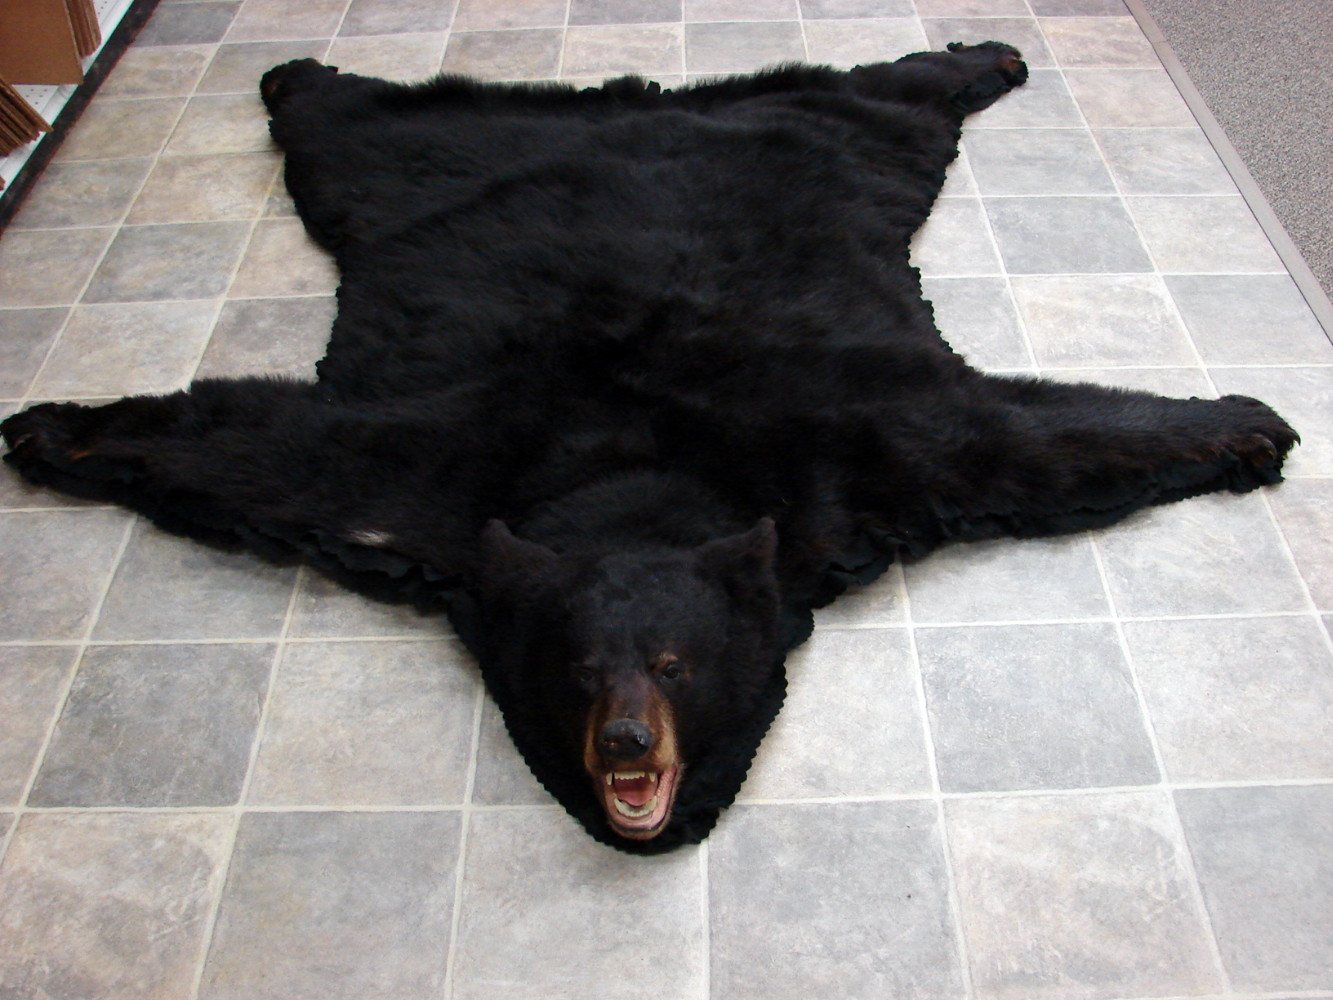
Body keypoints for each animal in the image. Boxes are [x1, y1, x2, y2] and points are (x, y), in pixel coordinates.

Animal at [0, 43, 1297, 853]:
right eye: (580, 666)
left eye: (673, 663)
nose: (626, 741)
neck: (633, 469)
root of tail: (633, 101)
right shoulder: (427, 470)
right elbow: (257, 445)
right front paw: (53, 426)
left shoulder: (859, 446)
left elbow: (1024, 434)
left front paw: (1245, 423)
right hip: (397, 172)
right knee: (362, 120)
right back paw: (302, 68)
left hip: (828, 144)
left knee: (880, 100)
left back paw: (987, 58)